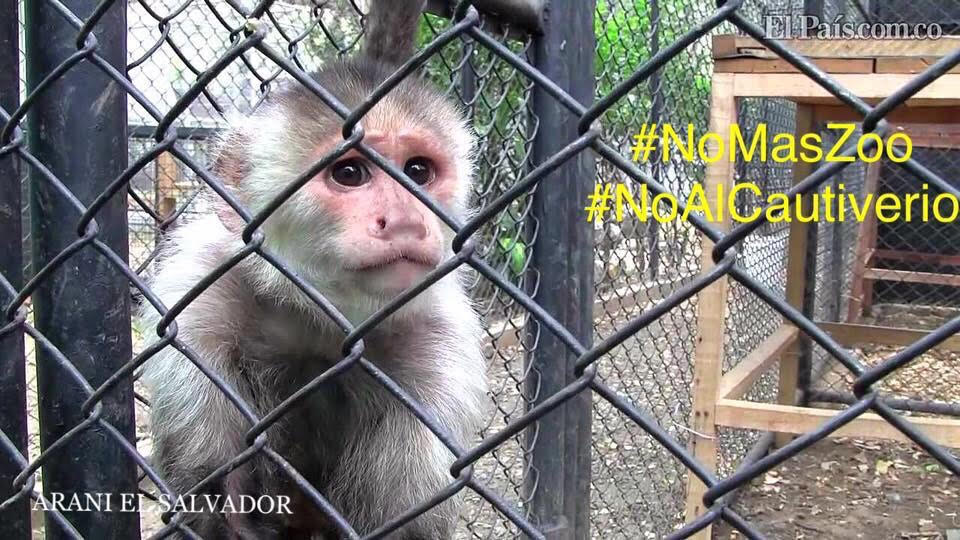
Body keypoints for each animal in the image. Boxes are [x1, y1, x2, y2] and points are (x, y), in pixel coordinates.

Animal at [138, 1, 488, 538]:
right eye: (349, 173)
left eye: (417, 172)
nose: (407, 221)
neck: (323, 322)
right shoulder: (200, 301)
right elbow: (210, 506)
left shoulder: (439, 355)